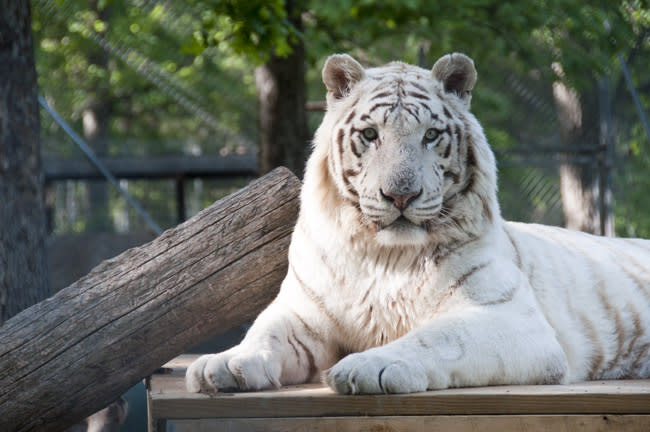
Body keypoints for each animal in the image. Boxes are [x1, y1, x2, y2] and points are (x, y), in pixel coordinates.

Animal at [186, 53, 650, 395]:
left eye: (430, 135)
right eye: (370, 135)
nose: (400, 195)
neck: (384, 256)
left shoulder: (511, 318)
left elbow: (440, 336)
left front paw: (368, 365)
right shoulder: (302, 311)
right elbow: (265, 333)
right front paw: (222, 364)